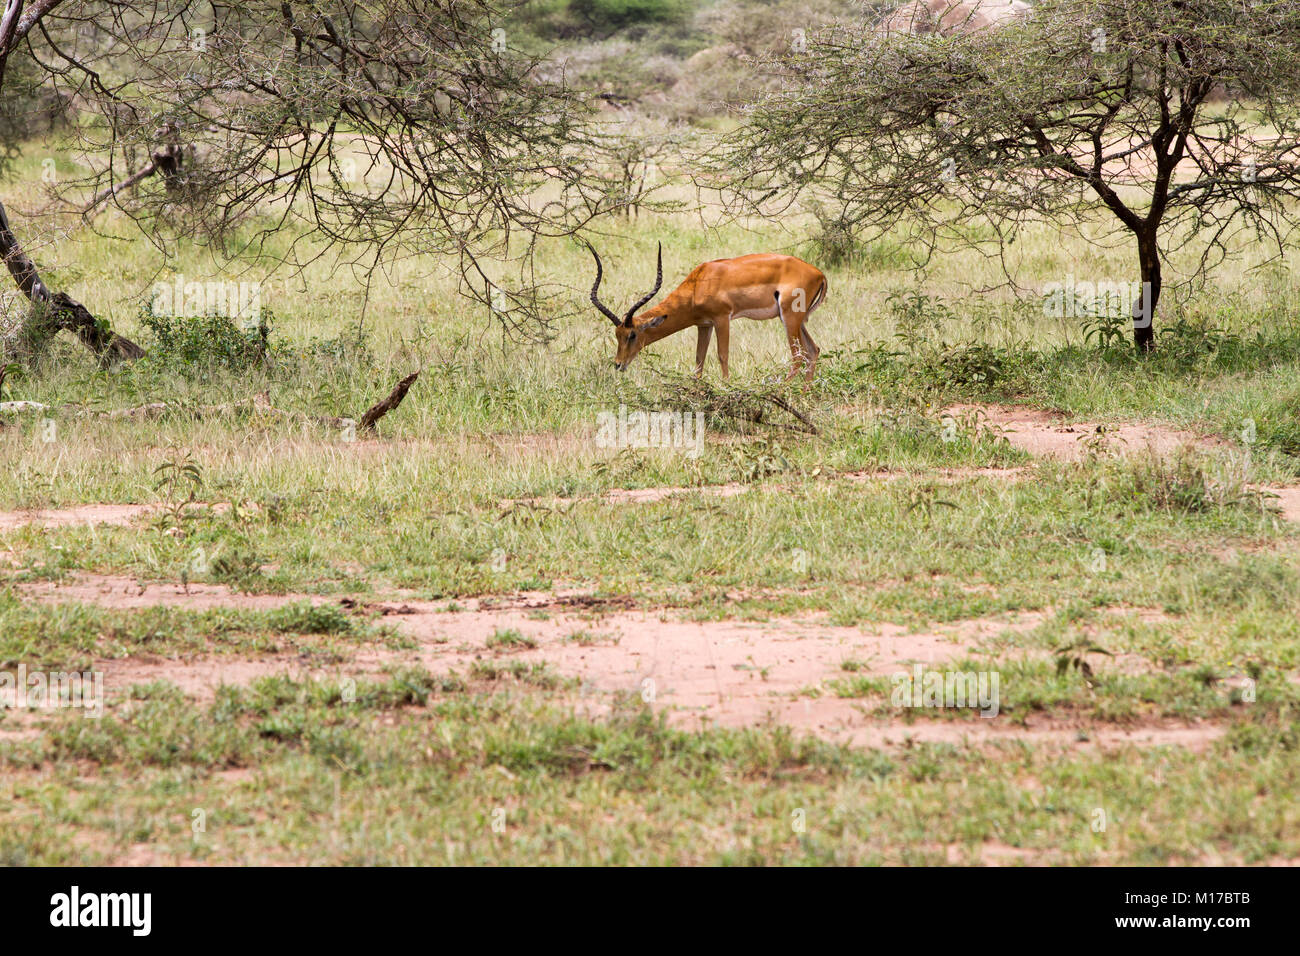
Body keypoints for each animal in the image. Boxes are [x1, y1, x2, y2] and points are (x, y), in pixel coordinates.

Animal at [586, 243, 829, 381]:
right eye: (616, 335)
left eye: (632, 334)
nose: (618, 364)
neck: (700, 283)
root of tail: (819, 273)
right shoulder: (704, 324)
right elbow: (699, 358)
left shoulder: (722, 319)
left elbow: (722, 355)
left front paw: (727, 387)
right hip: (799, 321)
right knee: (813, 351)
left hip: (790, 318)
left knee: (798, 356)